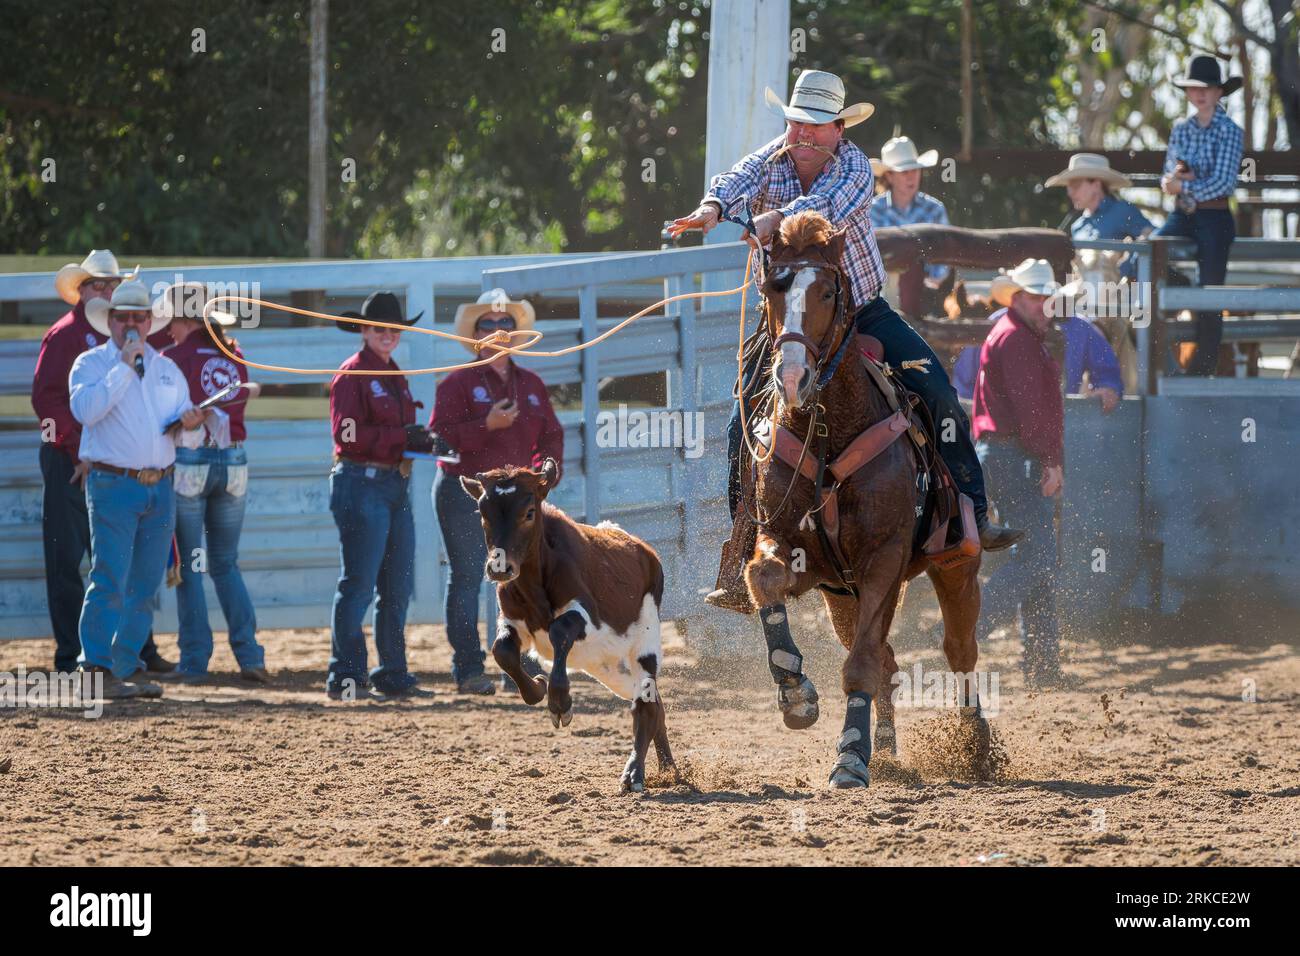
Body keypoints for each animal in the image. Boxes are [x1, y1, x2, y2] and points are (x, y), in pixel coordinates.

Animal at [459, 459, 675, 793]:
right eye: (483, 512)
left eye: (529, 512)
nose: (499, 567)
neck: (535, 582)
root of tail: (643, 550)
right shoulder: (512, 621)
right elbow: (502, 650)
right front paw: (537, 686)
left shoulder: (587, 617)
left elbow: (560, 630)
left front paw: (560, 703)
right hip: (608, 669)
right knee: (654, 704)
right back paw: (669, 769)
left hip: (645, 643)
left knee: (646, 705)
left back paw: (634, 774)